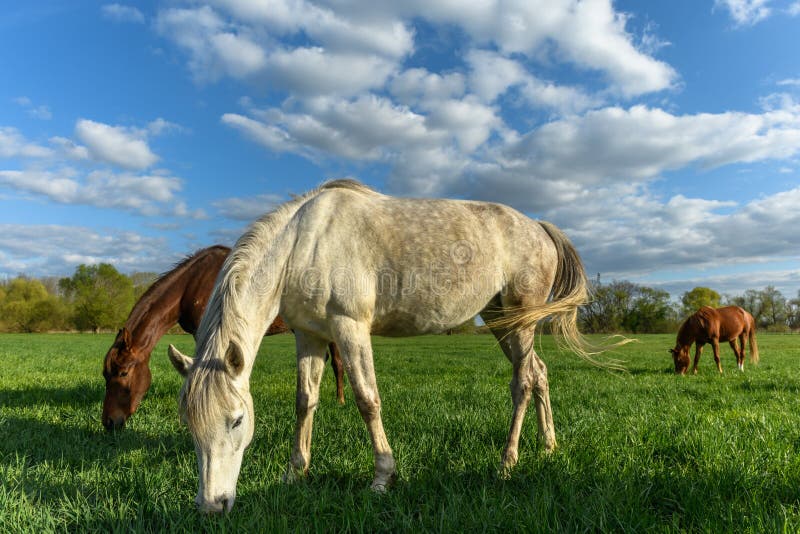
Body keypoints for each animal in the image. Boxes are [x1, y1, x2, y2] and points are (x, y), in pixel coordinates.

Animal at [101, 245, 345, 431]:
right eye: (105, 374)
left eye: (123, 373)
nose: (109, 422)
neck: (193, 283)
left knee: (337, 363)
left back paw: (340, 400)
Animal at [168, 179, 603, 513]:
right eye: (188, 422)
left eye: (237, 420)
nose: (212, 505)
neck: (303, 244)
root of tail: (540, 226)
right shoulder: (310, 335)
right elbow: (305, 402)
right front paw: (294, 473)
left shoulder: (350, 328)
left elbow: (367, 400)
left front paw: (382, 477)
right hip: (501, 321)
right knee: (539, 373)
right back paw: (548, 446)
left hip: (521, 319)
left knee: (522, 382)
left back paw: (507, 464)